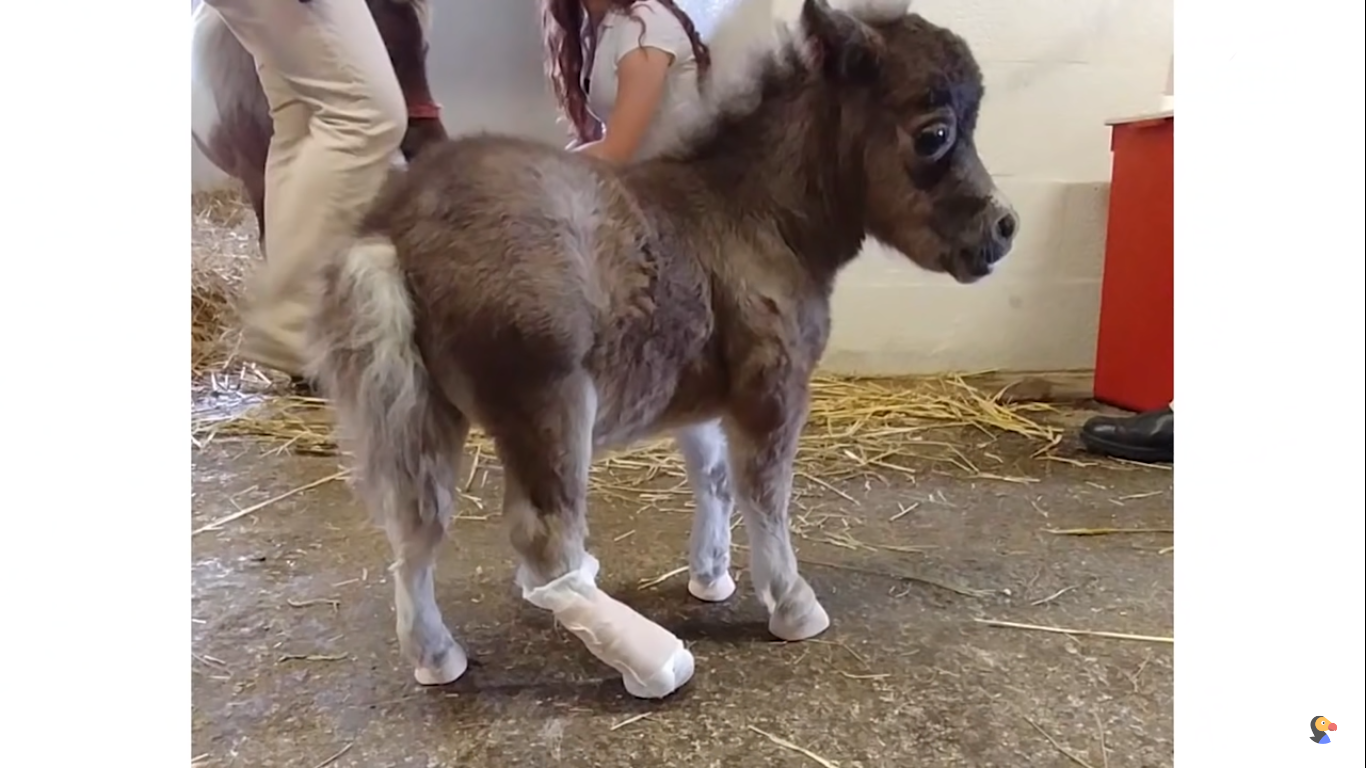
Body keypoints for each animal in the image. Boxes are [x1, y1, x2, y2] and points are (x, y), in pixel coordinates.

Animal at [307, 0, 1019, 699]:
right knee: (542, 538)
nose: (1003, 228)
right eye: (934, 134)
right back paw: (652, 662)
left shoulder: (699, 394)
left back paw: (438, 657)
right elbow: (765, 491)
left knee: (416, 526)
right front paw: (792, 606)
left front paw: (711, 577)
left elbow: (715, 478)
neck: (760, 216)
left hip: (425, 407)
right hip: (549, 401)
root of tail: (391, 232)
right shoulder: (773, 385)